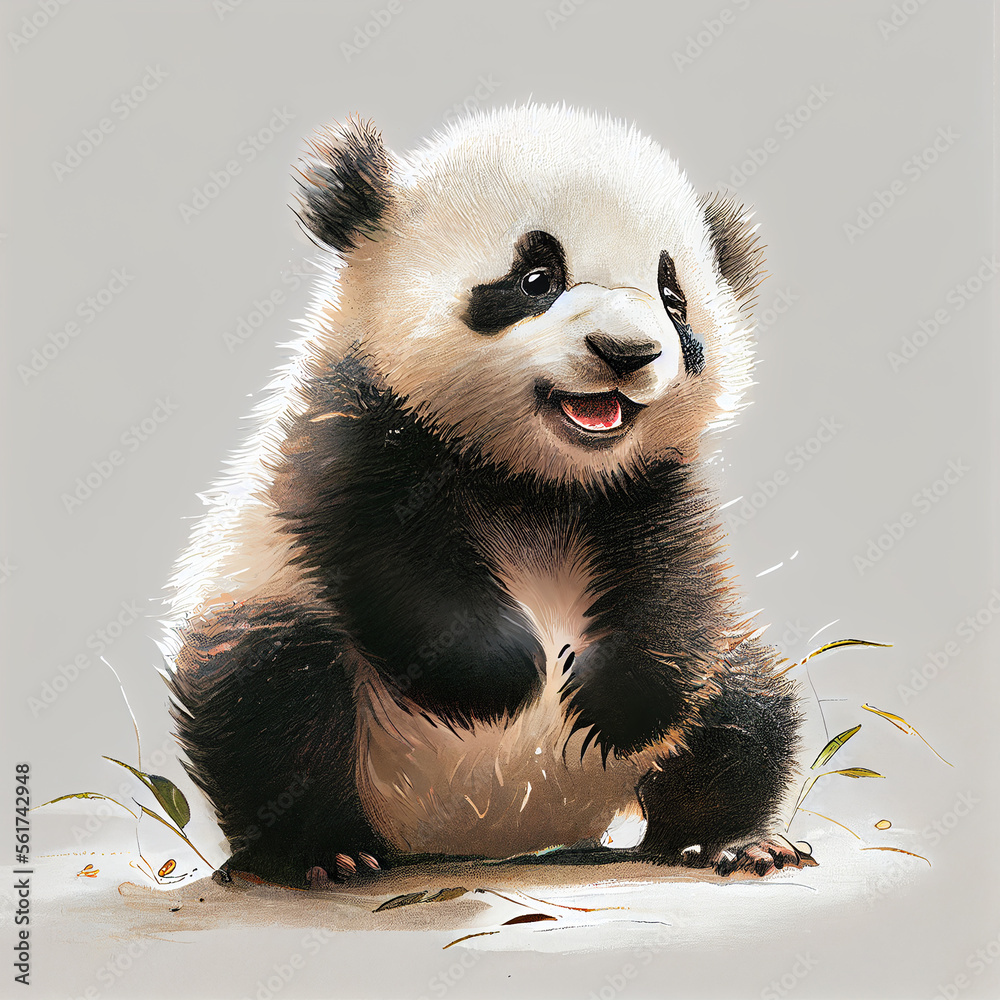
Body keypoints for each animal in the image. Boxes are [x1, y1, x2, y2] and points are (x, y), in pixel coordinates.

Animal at [165, 104, 814, 889]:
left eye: (673, 298)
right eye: (536, 277)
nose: (626, 353)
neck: (532, 476)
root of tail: (500, 829)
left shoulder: (647, 484)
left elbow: (676, 581)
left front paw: (608, 705)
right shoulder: (350, 432)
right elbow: (382, 555)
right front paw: (502, 678)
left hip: (712, 683)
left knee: (744, 704)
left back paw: (736, 839)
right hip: (278, 618)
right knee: (273, 697)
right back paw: (325, 852)